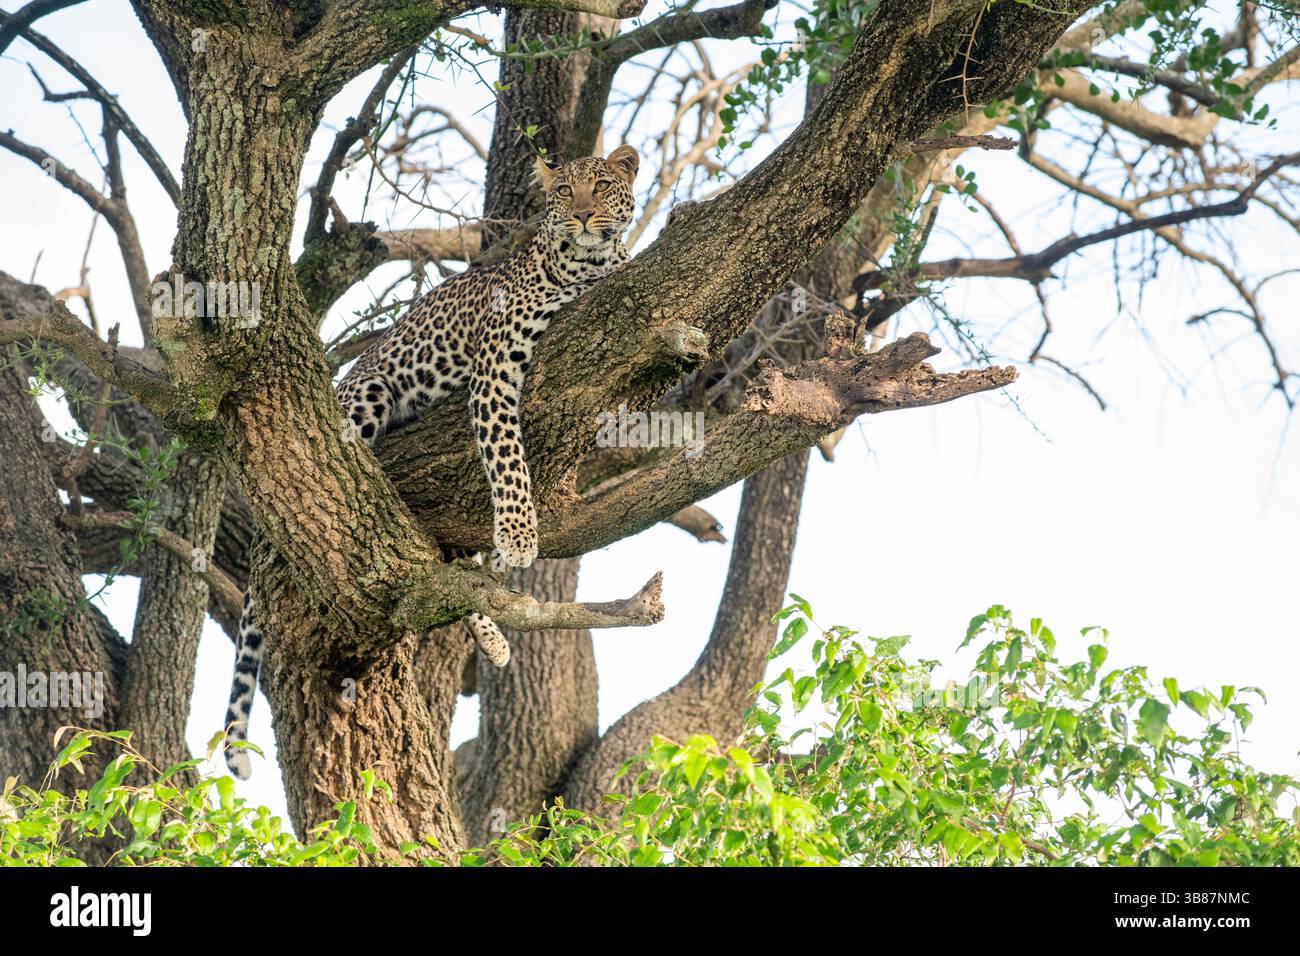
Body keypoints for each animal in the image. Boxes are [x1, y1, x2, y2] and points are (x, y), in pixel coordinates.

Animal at [223, 145, 641, 779]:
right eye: (565, 192)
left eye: (602, 185)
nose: (586, 216)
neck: (584, 266)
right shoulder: (494, 369)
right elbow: (506, 456)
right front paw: (519, 535)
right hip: (366, 398)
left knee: (448, 578)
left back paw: (491, 632)